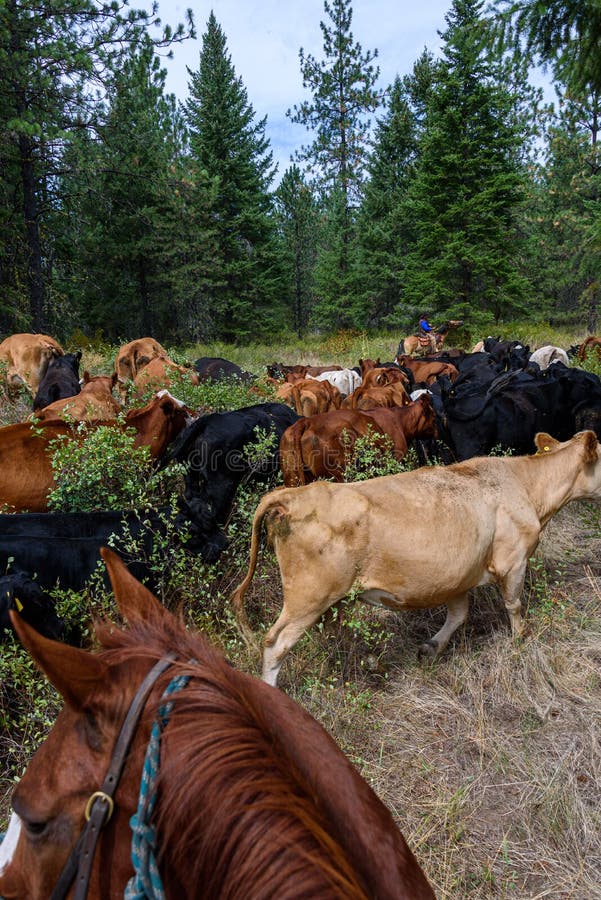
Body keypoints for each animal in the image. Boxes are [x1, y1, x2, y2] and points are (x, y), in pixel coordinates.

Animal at [232, 430, 601, 685]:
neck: (526, 485)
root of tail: (293, 496)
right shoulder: (513, 562)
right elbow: (514, 607)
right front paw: (520, 642)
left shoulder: (457, 576)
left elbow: (458, 615)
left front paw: (431, 648)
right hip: (307, 597)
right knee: (274, 644)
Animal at [279, 395, 437, 486]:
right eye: (434, 415)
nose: (438, 432)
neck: (400, 420)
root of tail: (307, 421)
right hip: (339, 474)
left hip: (292, 477)